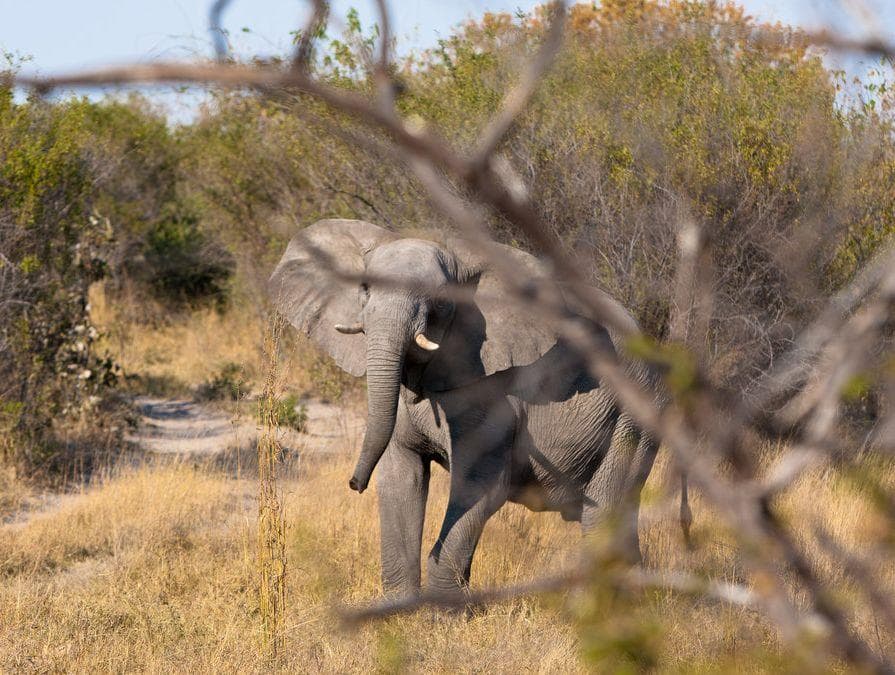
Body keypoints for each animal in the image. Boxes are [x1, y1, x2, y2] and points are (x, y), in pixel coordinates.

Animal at [269, 219, 663, 598]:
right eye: (364, 288)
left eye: (439, 301)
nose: (354, 483)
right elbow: (401, 479)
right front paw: (398, 609)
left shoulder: (492, 393)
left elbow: (480, 487)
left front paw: (442, 611)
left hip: (635, 415)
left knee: (603, 512)